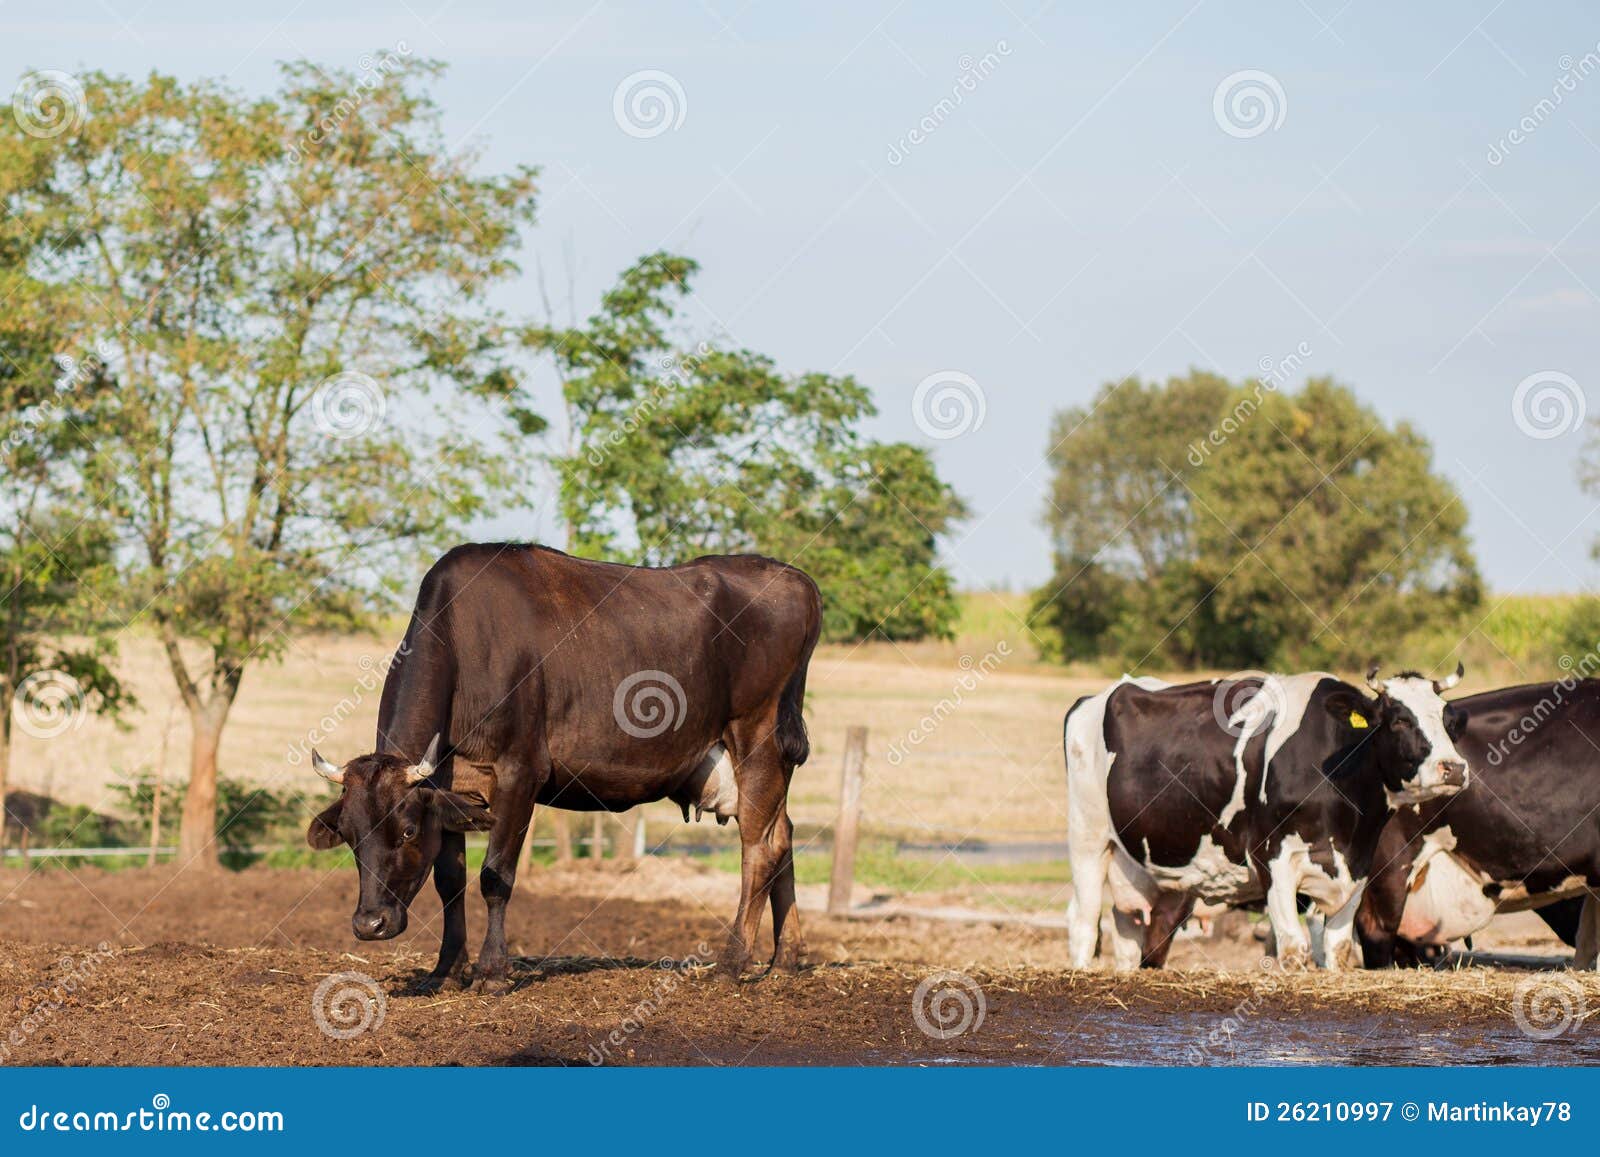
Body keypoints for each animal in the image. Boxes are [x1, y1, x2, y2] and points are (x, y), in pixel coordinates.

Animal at [303, 543, 822, 989]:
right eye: (348, 833)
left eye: (407, 830)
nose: (370, 923)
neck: (465, 643)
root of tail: (794, 576)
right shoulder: (448, 789)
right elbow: (449, 880)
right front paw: (447, 969)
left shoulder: (520, 772)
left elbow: (495, 876)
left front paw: (492, 972)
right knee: (783, 834)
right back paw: (784, 960)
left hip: (758, 736)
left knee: (759, 848)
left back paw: (732, 964)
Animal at [1065, 666, 1470, 971]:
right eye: (1399, 720)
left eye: (1448, 721)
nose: (1453, 768)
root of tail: (1100, 696)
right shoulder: (1272, 857)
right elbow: (1292, 948)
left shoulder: (1358, 867)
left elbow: (1337, 949)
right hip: (1088, 839)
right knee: (1084, 922)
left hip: (1138, 866)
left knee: (1128, 933)